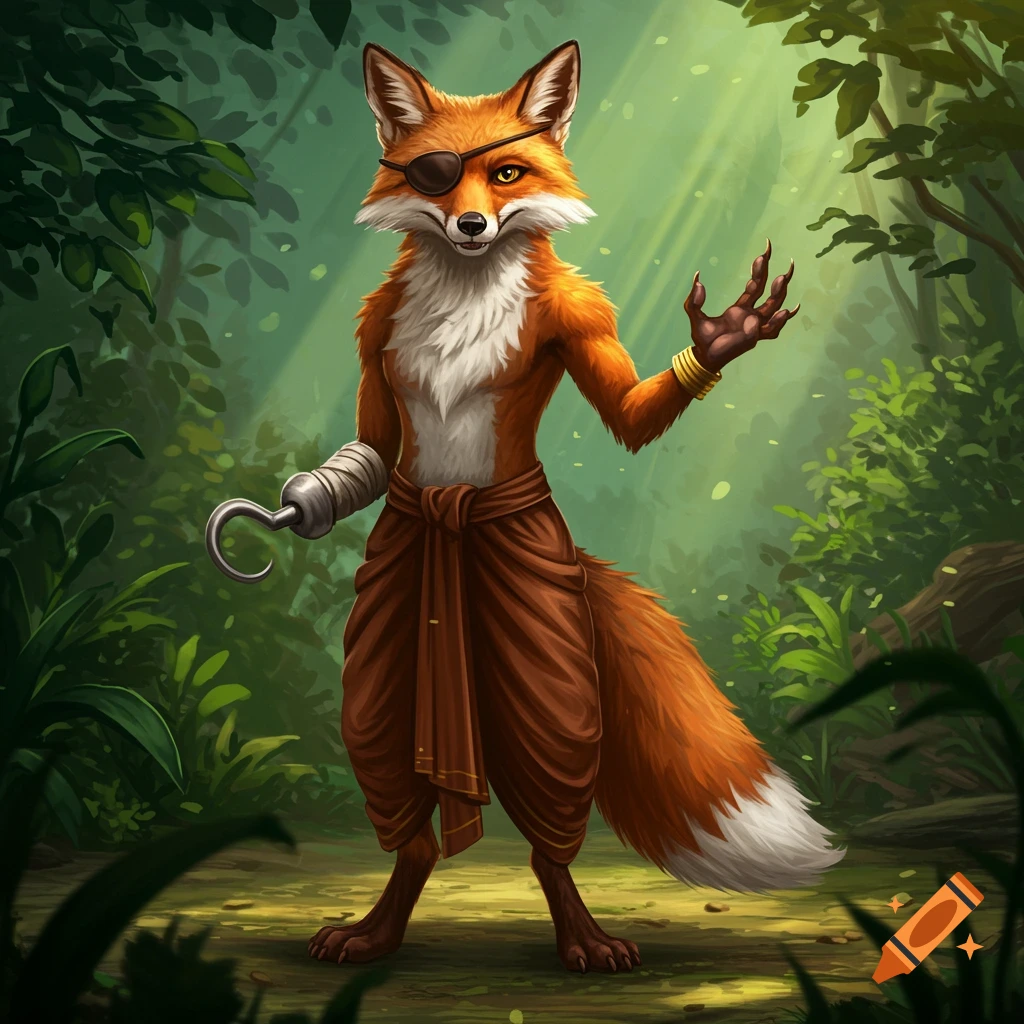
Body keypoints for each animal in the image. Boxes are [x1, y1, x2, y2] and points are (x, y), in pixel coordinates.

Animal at [228, 39, 844, 973]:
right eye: (438, 177)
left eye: (507, 173)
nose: (473, 227)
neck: (465, 290)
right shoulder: (376, 341)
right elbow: (371, 445)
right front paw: (298, 507)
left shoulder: (576, 322)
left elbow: (627, 413)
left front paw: (719, 340)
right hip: (384, 677)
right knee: (408, 822)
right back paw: (377, 930)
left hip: (550, 675)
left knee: (551, 806)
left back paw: (581, 936)